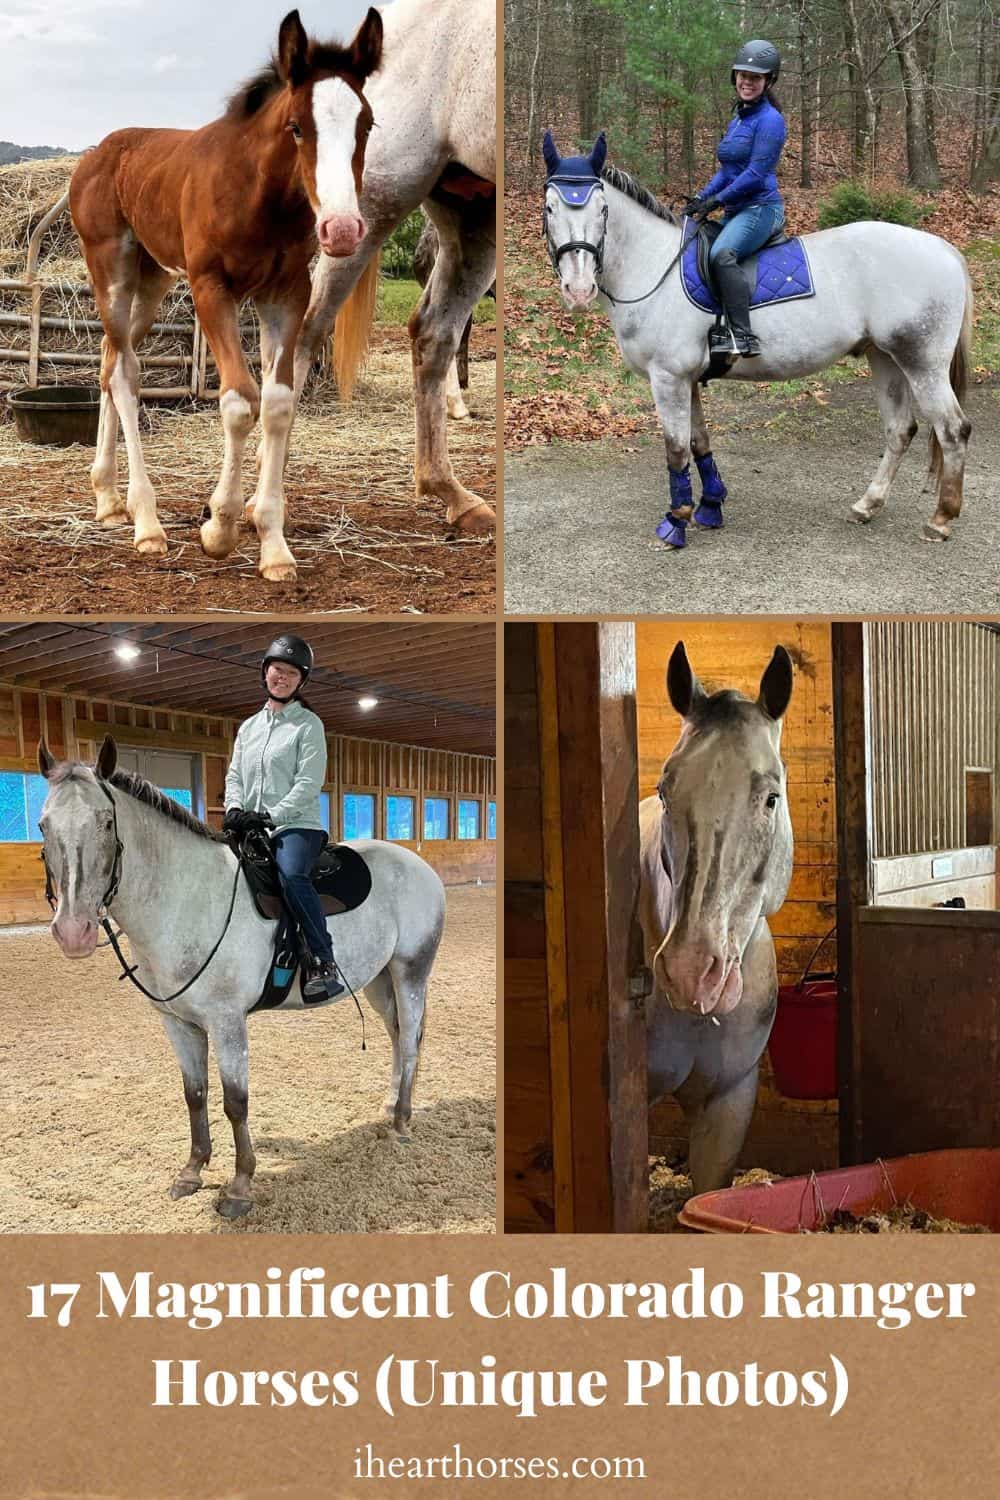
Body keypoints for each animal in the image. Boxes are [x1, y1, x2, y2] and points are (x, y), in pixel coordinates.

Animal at [37, 734, 445, 1220]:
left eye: (105, 822)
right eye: (43, 826)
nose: (72, 931)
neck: (186, 898)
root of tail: (418, 864)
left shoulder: (227, 1023)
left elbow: (235, 1102)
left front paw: (239, 1186)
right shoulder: (179, 1024)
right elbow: (194, 1093)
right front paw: (192, 1170)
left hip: (410, 971)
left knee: (412, 1038)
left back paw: (401, 1122)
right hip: (379, 980)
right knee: (399, 1036)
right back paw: (391, 1105)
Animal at [69, 8, 383, 584]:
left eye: (366, 123)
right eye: (296, 126)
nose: (343, 229)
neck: (261, 195)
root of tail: (95, 154)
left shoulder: (286, 292)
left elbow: (278, 403)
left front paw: (274, 547)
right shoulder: (211, 288)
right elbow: (240, 401)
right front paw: (219, 528)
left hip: (153, 279)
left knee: (108, 358)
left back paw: (108, 499)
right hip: (112, 269)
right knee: (125, 374)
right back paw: (146, 522)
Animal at [542, 132, 974, 548]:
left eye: (602, 209)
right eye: (549, 209)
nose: (578, 290)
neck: (653, 264)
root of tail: (944, 248)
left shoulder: (667, 377)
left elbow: (676, 449)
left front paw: (676, 522)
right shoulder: (687, 379)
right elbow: (699, 442)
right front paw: (711, 507)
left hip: (922, 362)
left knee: (952, 430)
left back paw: (940, 520)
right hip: (884, 357)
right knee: (900, 430)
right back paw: (868, 505)